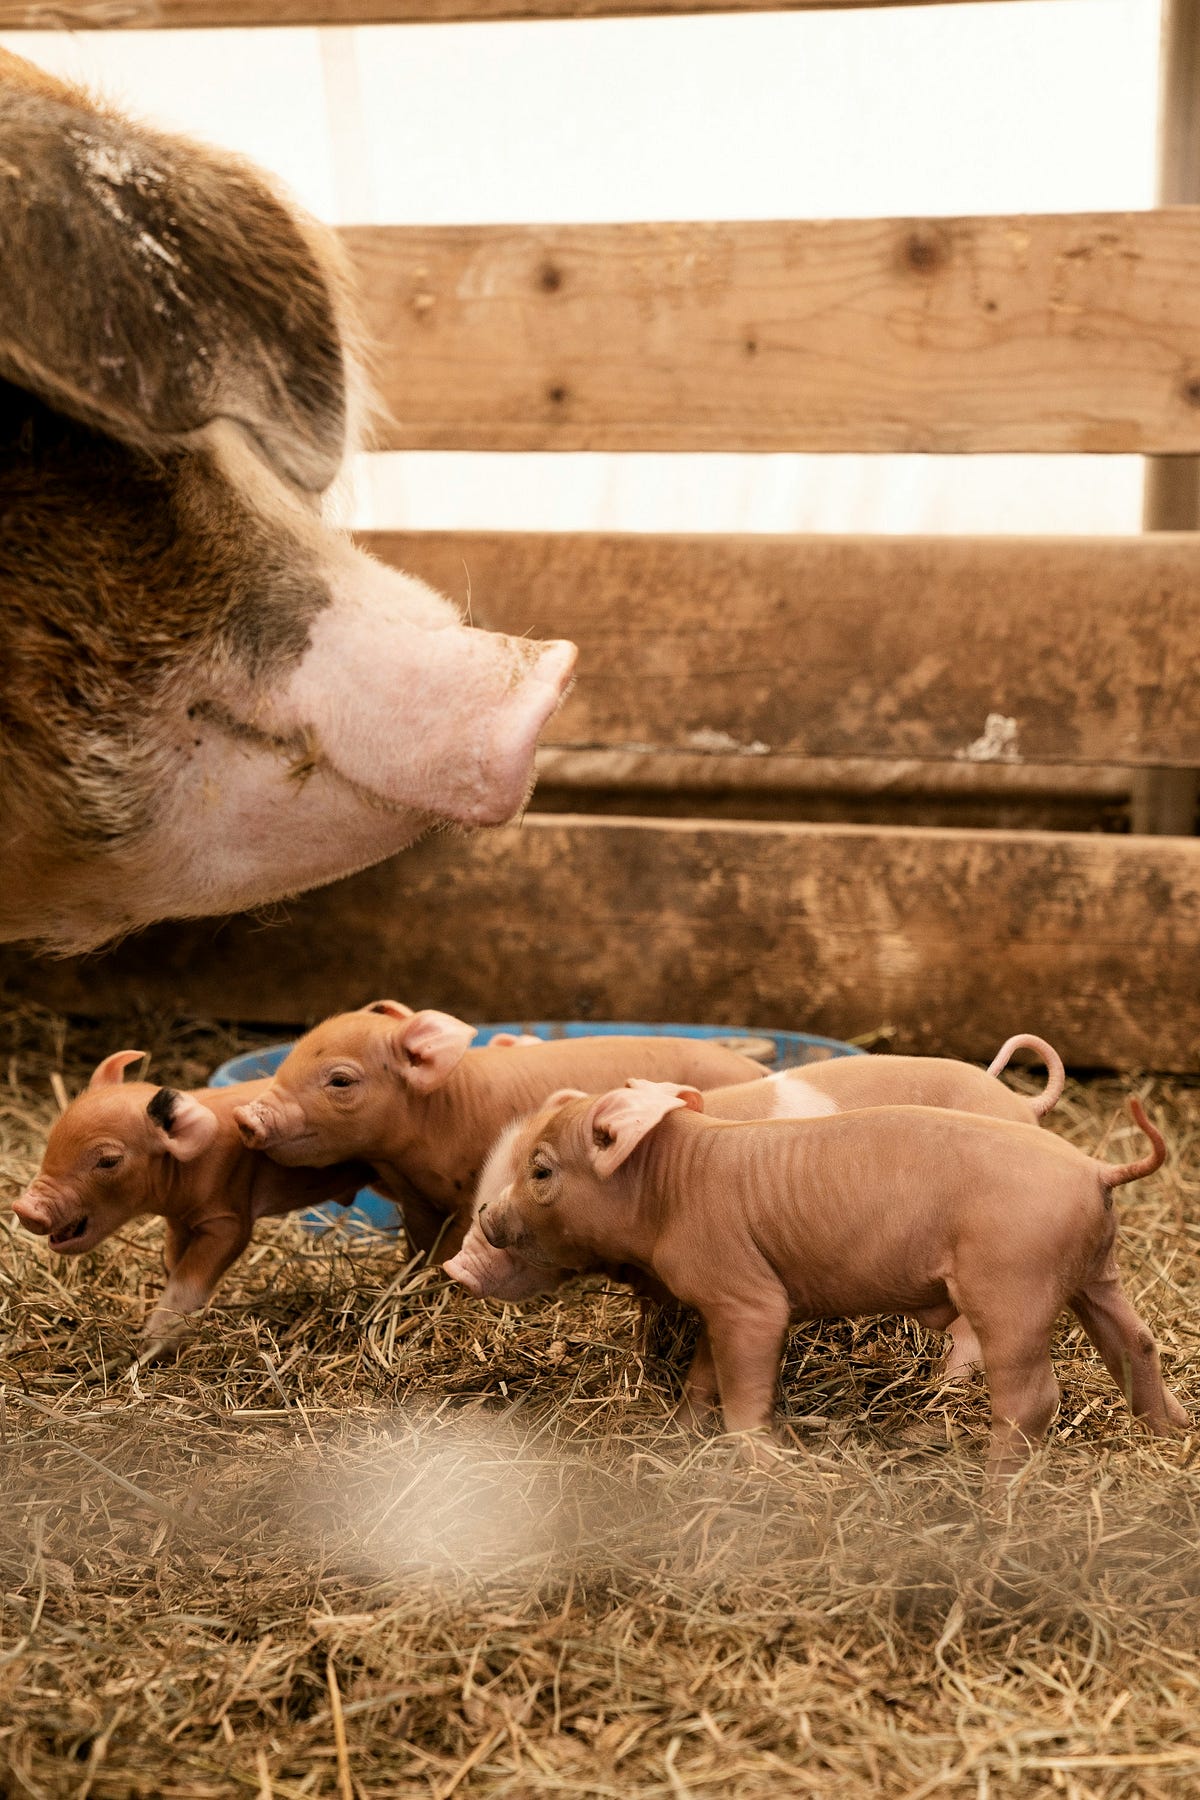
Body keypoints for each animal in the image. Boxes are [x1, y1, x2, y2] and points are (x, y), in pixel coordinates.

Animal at [11, 1049, 373, 1360]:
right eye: (53, 1138)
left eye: (109, 1161)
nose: (24, 1209)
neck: (186, 1168)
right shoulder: (180, 1222)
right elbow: (174, 1264)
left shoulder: (228, 1220)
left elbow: (189, 1279)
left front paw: (150, 1346)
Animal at [231, 1002, 768, 1258]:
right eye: (293, 1055)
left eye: (340, 1080)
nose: (245, 1117)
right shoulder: (418, 1202)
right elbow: (419, 1248)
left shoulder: (466, 1193)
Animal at [470, 1080, 1186, 1474]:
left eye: (540, 1170)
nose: (485, 1217)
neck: (670, 1188)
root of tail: (1095, 1169)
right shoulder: (718, 1306)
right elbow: (705, 1376)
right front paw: (679, 1430)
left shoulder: (749, 1297)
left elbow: (743, 1393)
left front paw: (767, 1463)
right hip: (1096, 1275)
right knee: (1138, 1343)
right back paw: (1174, 1434)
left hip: (1014, 1287)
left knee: (1034, 1397)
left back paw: (992, 1490)